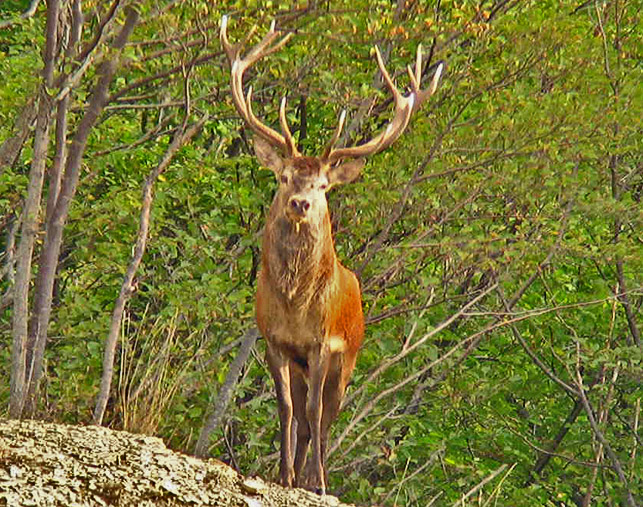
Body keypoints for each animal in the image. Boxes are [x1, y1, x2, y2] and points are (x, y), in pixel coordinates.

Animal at [220, 16, 443, 495]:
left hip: (349, 357)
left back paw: (316, 476)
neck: (295, 304)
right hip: (306, 365)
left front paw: (316, 481)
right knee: (305, 417)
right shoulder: (275, 342)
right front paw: (284, 474)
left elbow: (316, 415)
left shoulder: (323, 344)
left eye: (323, 185)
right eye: (284, 176)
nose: (300, 203)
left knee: (325, 417)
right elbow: (288, 409)